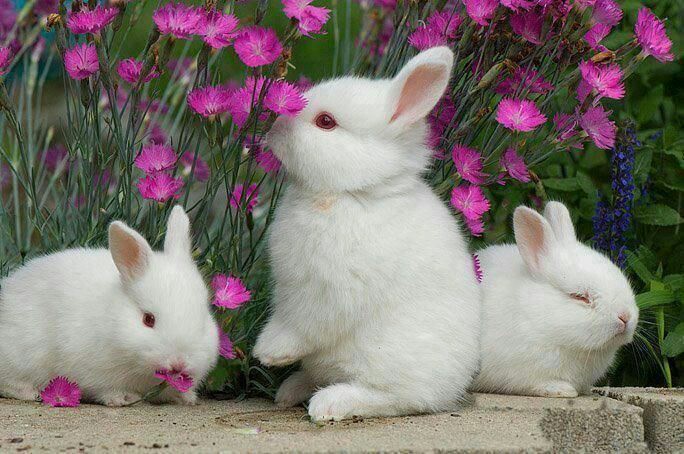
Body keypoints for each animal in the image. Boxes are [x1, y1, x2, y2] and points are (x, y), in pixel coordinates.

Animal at [0, 206, 219, 406]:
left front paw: (186, 397)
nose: (178, 363)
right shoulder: (92, 372)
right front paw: (122, 398)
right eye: (148, 319)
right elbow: (104, 389)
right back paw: (29, 392)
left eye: (202, 322)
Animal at [252, 46, 481, 421]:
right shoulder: (291, 287)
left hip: (390, 360)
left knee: (396, 398)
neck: (353, 193)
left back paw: (329, 403)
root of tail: (454, 386)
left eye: (326, 122)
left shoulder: (327, 292)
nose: (273, 127)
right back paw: (291, 390)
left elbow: (302, 325)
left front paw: (269, 352)